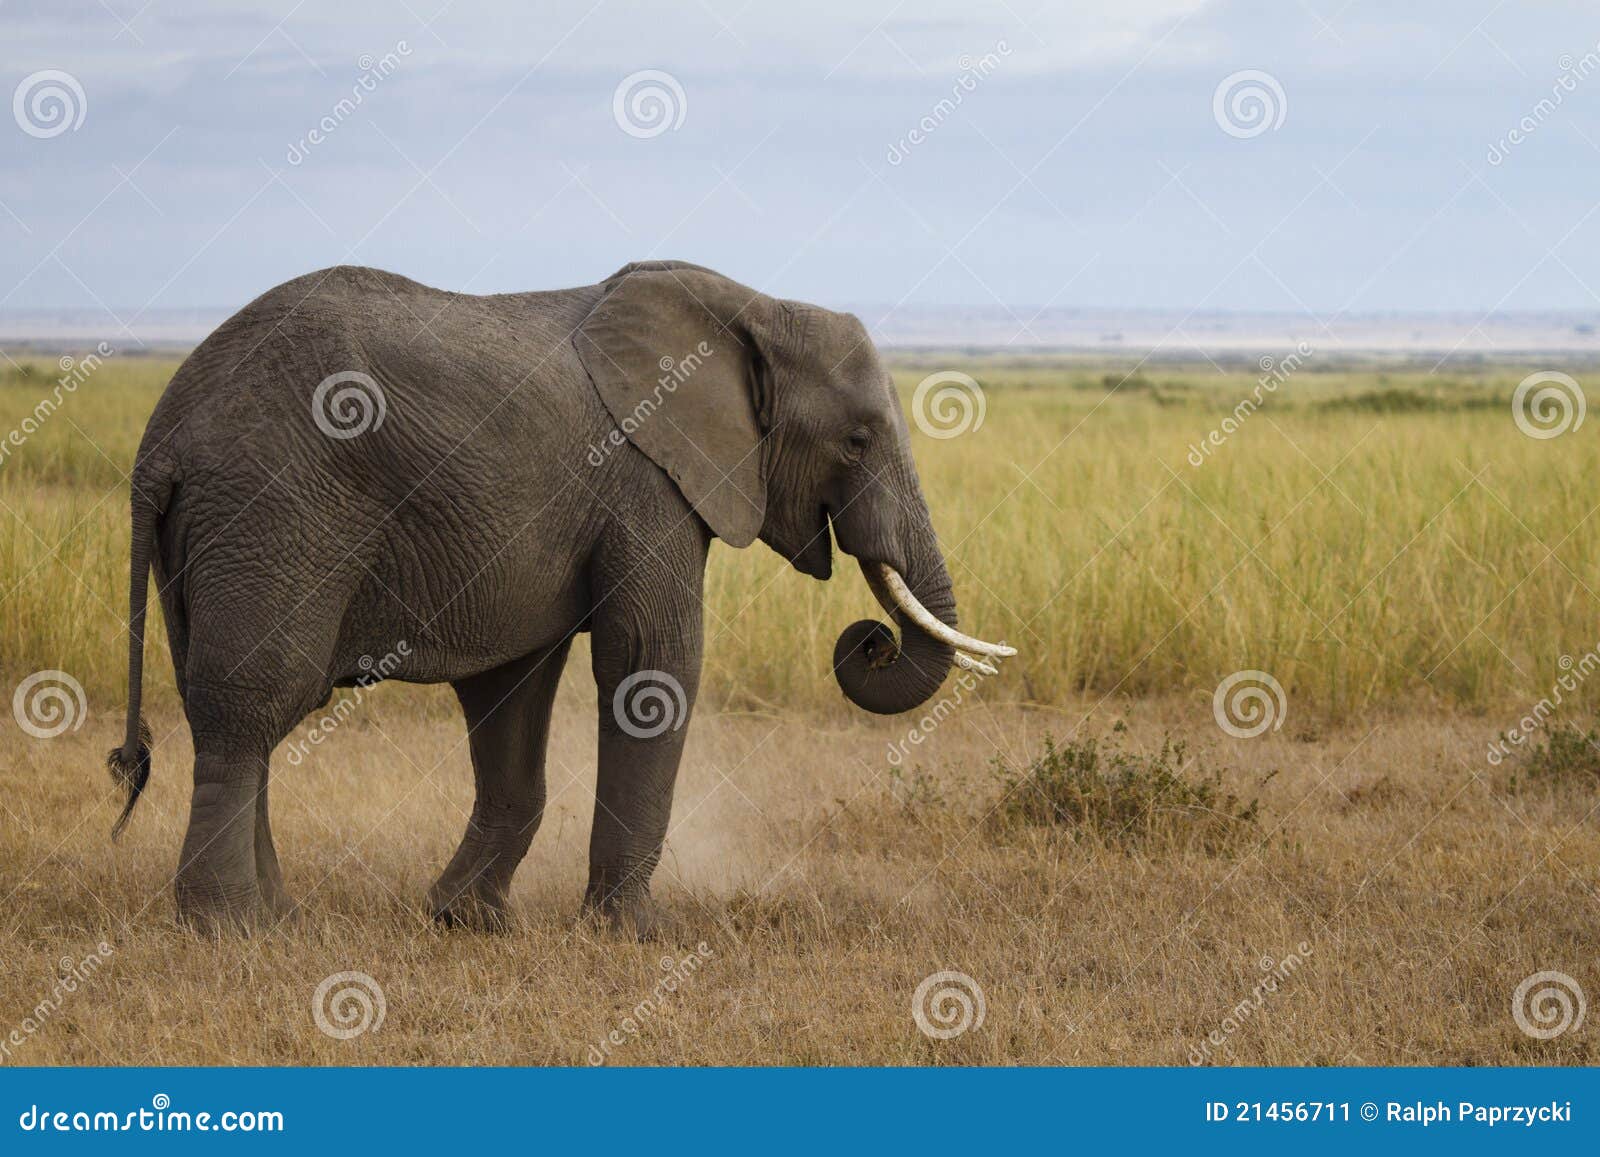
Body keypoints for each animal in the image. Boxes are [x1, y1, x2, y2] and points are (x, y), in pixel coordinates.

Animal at [105, 260, 1017, 934]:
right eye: (856, 440)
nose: (871, 638)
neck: (756, 308)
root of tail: (161, 437)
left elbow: (513, 691)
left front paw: (465, 920)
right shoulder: (648, 480)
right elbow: (652, 664)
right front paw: (637, 933)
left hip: (215, 536)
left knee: (239, 712)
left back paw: (280, 917)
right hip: (271, 511)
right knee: (252, 703)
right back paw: (232, 929)